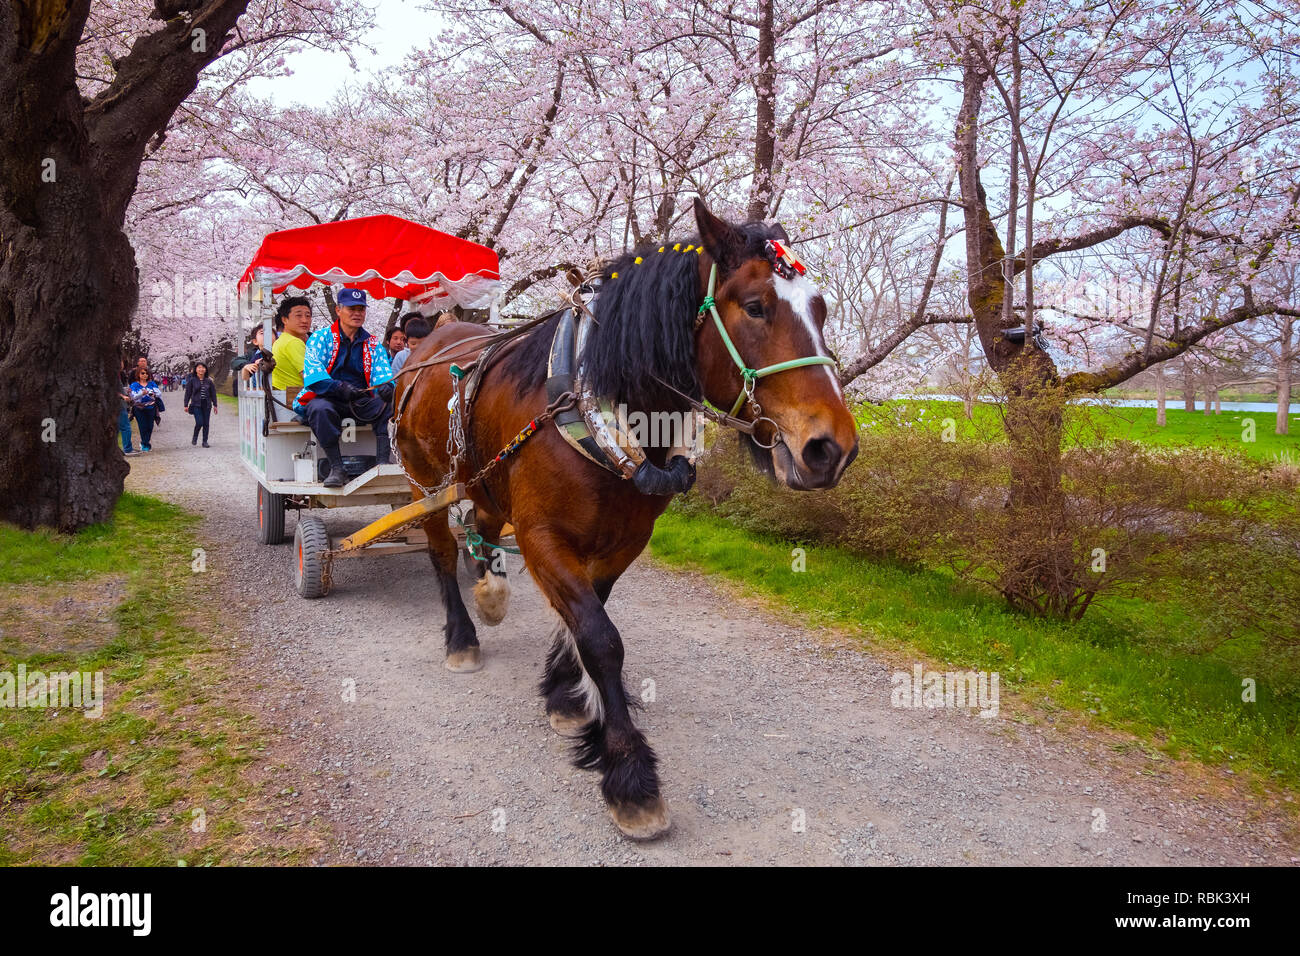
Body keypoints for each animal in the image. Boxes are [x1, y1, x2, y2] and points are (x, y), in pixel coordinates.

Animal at [394, 198, 859, 839]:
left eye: (821, 308)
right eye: (756, 306)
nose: (831, 448)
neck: (596, 405)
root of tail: (434, 339)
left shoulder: (625, 539)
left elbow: (593, 615)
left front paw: (565, 695)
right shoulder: (542, 536)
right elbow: (601, 638)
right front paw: (629, 775)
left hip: (483, 479)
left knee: (482, 530)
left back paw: (490, 592)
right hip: (427, 482)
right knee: (442, 551)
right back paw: (463, 634)